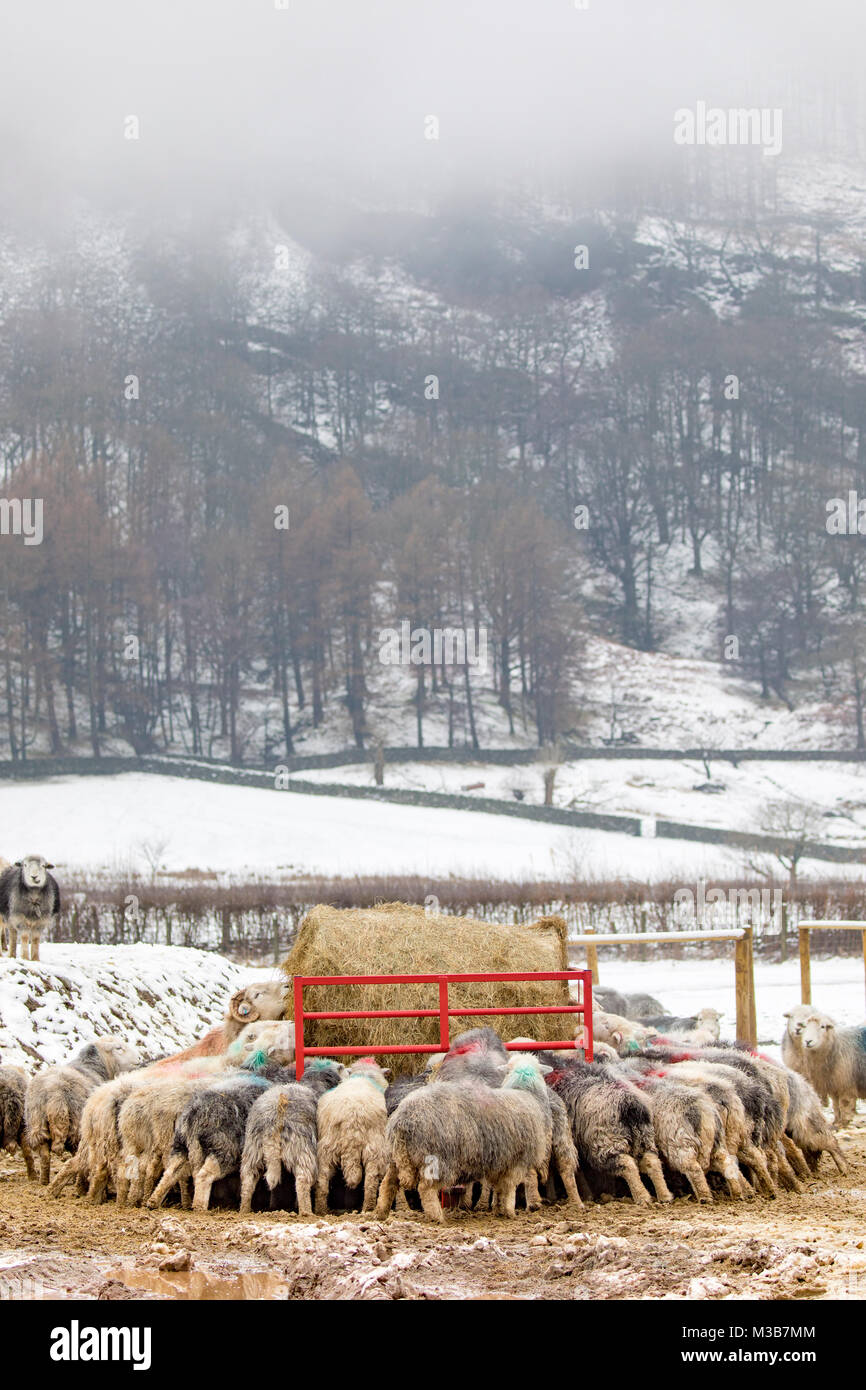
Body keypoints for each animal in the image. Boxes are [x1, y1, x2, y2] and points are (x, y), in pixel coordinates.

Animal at [25, 1037, 141, 1184]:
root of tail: (54, 1092)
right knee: (77, 1153)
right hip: (76, 1123)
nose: (139, 1058)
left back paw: (44, 1181)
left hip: (36, 1122)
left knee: (44, 1153)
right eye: (118, 1048)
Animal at [239, 1060, 343, 1215]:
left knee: (247, 1180)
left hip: (253, 1148)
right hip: (301, 1147)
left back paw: (244, 1210)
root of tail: (277, 1112)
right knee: (302, 1180)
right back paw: (306, 1212)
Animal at [315, 1058, 390, 1214]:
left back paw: (321, 1210)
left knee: (322, 1179)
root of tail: (351, 1116)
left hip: (326, 1147)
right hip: (375, 1148)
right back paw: (368, 1208)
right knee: (371, 1181)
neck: (364, 1075)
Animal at [375, 1071, 551, 1222]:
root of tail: (403, 1119)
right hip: (437, 1159)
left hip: (396, 1158)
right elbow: (509, 1190)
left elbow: (499, 1190)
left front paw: (499, 1210)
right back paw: (437, 1217)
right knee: (425, 1188)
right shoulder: (515, 1163)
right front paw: (509, 1212)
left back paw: (381, 1213)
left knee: (387, 1184)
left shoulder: (499, 1164)